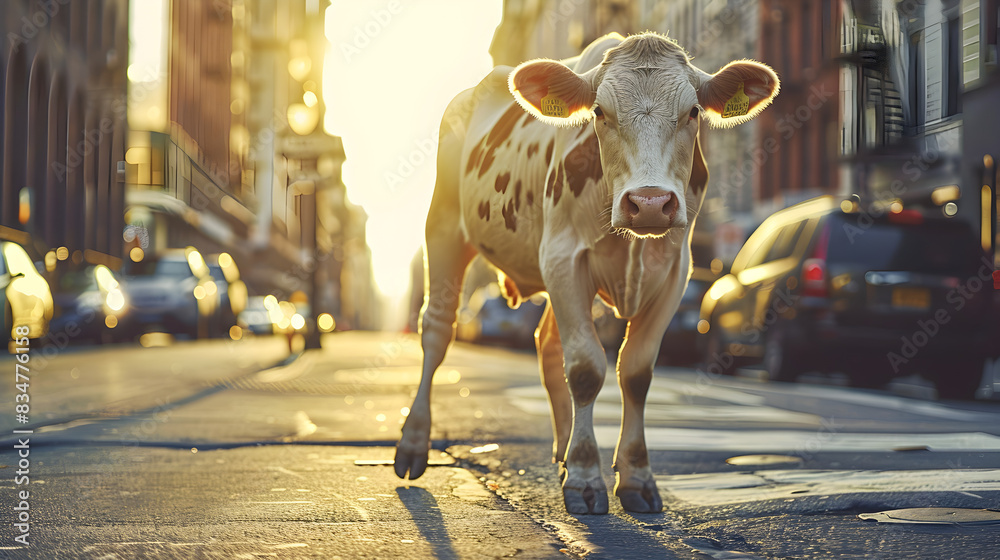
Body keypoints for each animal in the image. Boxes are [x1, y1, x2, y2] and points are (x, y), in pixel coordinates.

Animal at [394, 31, 779, 514]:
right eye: (599, 112)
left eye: (693, 112)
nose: (649, 202)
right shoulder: (563, 258)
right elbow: (585, 369)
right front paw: (583, 476)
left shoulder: (675, 273)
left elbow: (635, 371)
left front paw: (635, 476)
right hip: (444, 226)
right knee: (437, 329)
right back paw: (413, 444)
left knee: (546, 344)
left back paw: (560, 450)